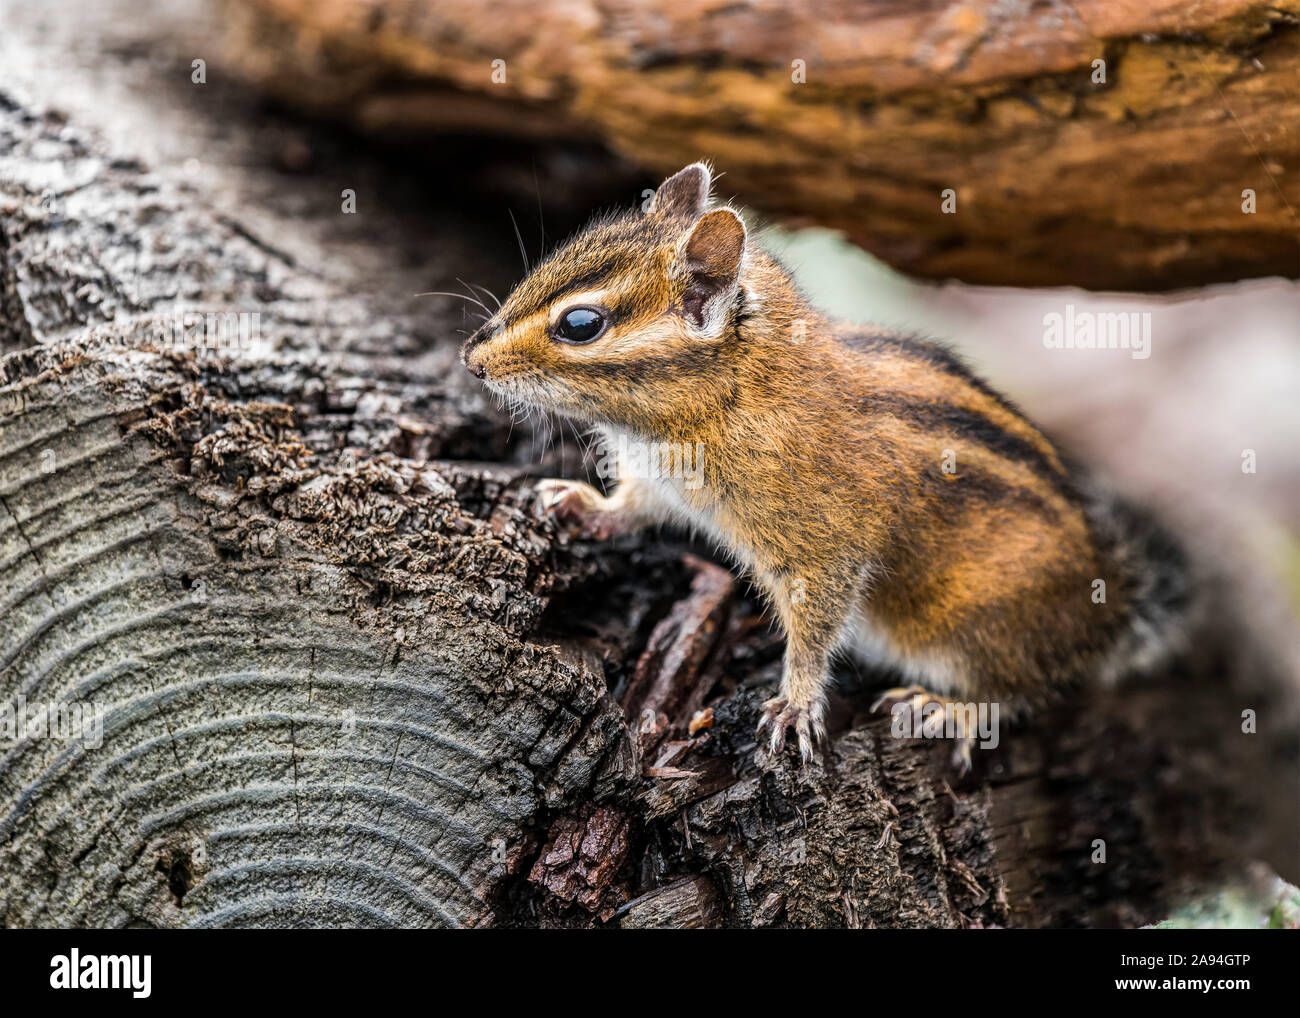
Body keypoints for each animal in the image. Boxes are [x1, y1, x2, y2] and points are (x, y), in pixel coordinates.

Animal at [461, 162, 1192, 766]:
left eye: (580, 324)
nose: (472, 359)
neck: (734, 393)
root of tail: (1113, 601)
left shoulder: (822, 546)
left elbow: (815, 628)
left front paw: (796, 704)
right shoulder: (663, 483)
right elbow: (634, 505)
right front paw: (580, 505)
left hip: (971, 627)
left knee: (1026, 690)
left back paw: (947, 708)